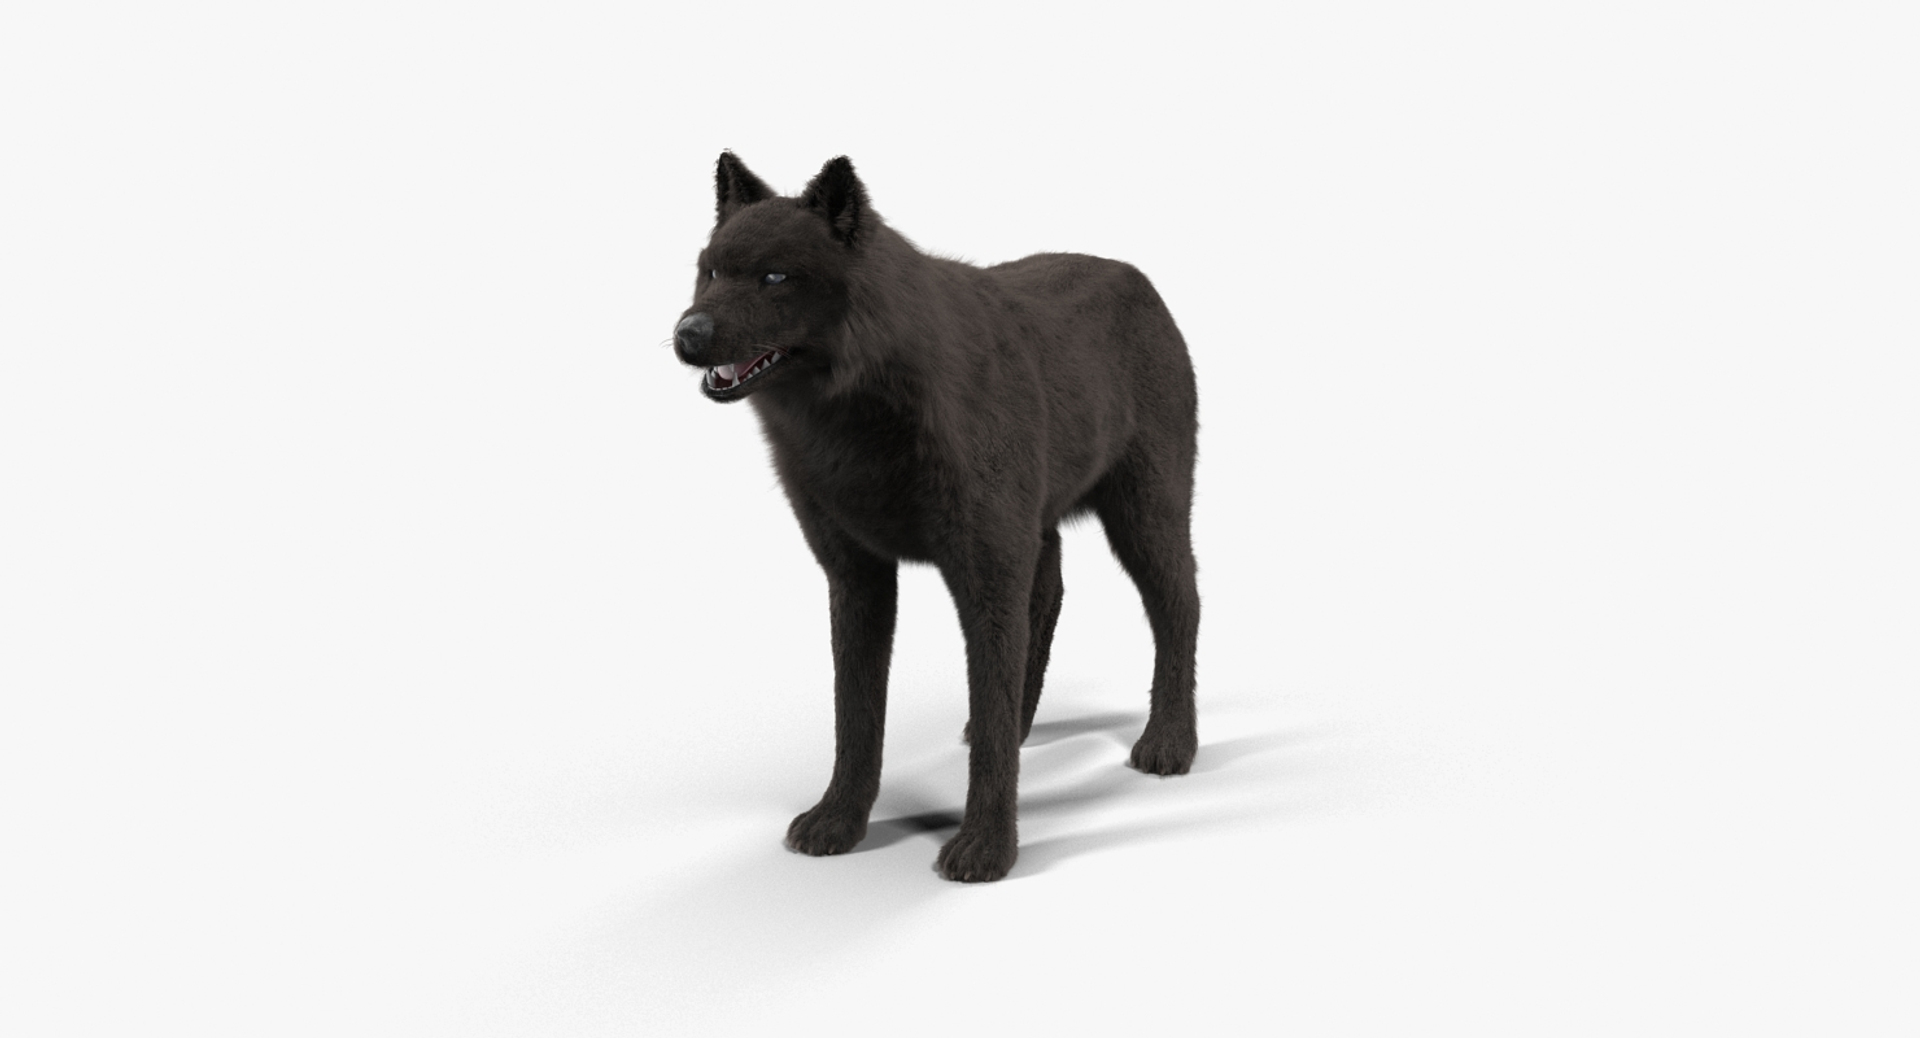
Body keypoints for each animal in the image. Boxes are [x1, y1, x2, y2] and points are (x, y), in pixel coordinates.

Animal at [672, 153, 1199, 882]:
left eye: (775, 276)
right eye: (710, 271)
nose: (686, 335)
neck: (859, 415)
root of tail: (1138, 278)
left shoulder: (984, 569)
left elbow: (983, 702)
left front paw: (985, 848)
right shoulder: (857, 577)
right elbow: (856, 716)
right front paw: (838, 822)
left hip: (1145, 516)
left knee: (1181, 603)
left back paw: (1170, 743)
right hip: (1044, 531)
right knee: (1050, 599)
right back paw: (1023, 725)